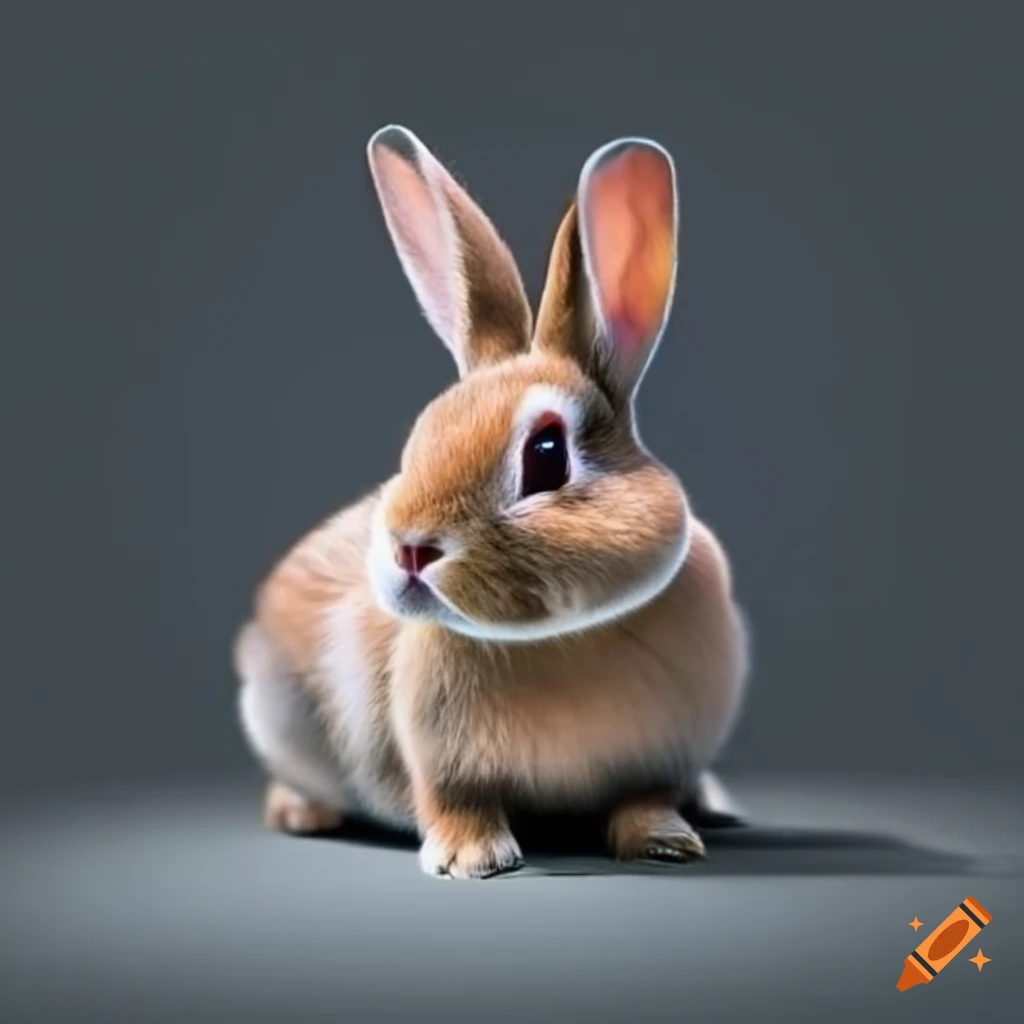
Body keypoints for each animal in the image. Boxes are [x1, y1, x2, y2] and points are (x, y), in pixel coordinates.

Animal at [235, 124, 750, 879]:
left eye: (547, 454)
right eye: (420, 436)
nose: (410, 549)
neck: (565, 639)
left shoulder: (657, 759)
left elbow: (643, 798)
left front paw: (665, 841)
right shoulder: (440, 759)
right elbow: (457, 800)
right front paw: (470, 860)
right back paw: (304, 814)